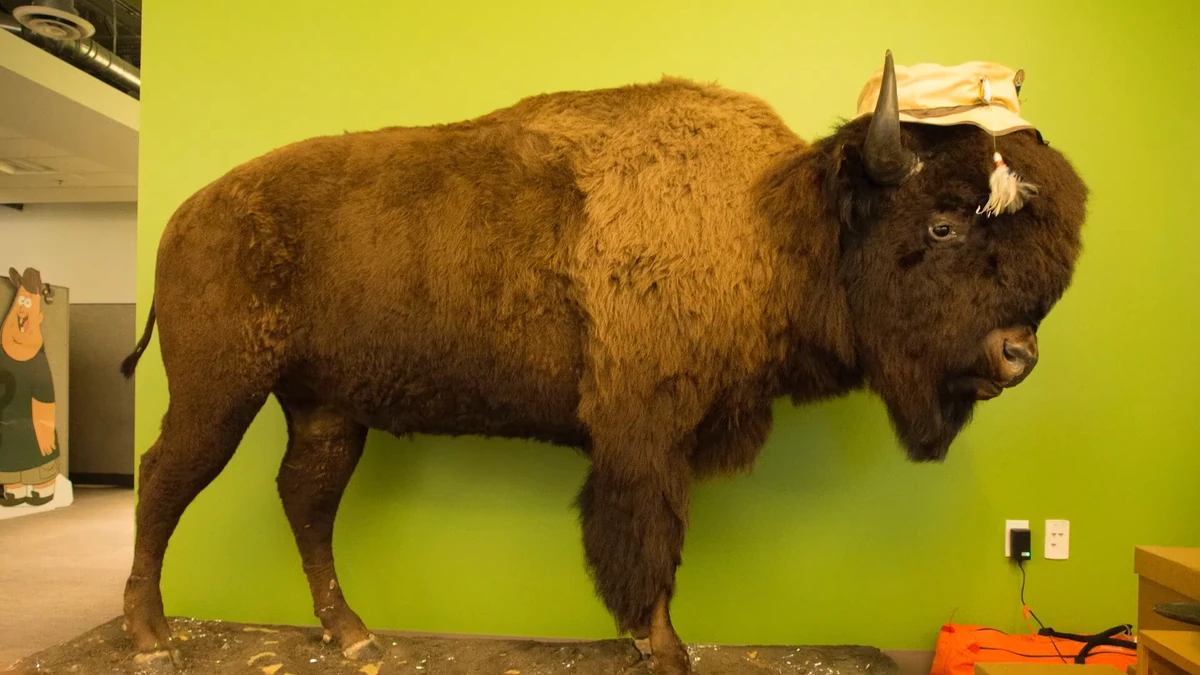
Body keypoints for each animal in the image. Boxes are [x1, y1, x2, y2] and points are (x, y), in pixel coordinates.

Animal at [120, 51, 1087, 674]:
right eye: (941, 223)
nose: (1018, 353)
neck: (770, 220)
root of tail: (187, 213)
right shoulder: (646, 434)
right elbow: (650, 542)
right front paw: (663, 647)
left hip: (325, 407)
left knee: (306, 498)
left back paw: (352, 634)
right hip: (220, 391)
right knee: (164, 476)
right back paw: (151, 636)